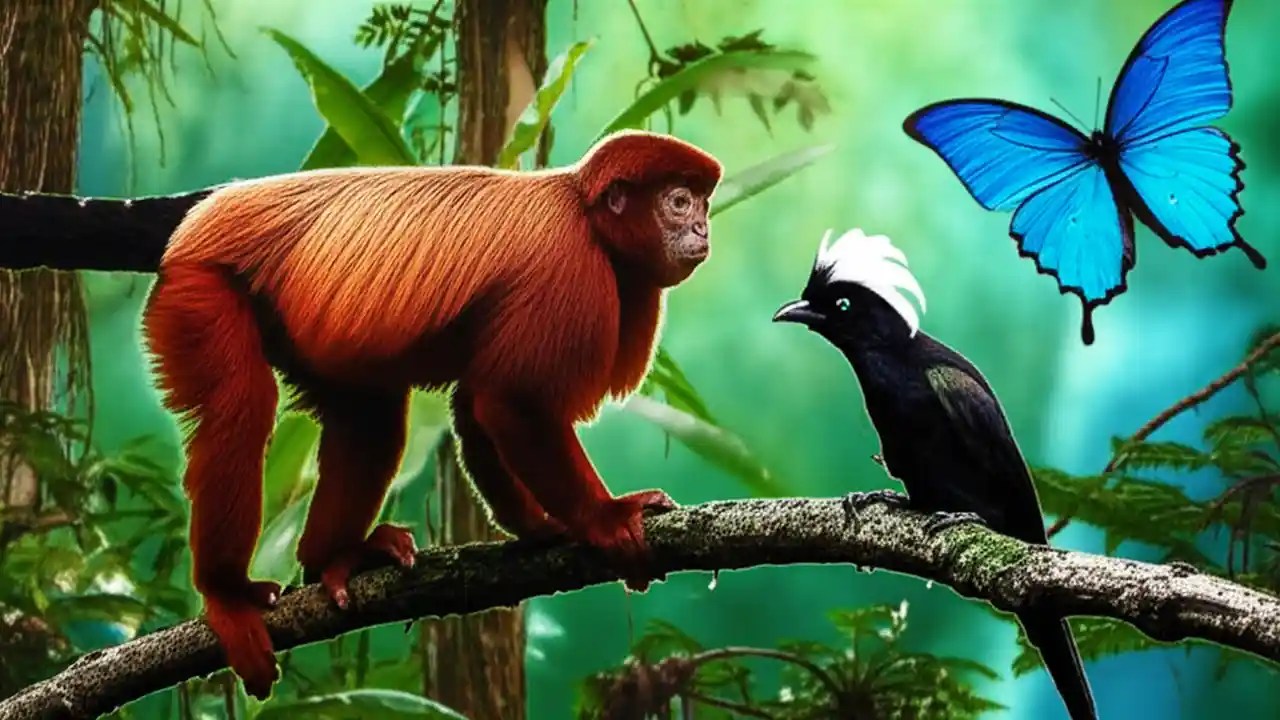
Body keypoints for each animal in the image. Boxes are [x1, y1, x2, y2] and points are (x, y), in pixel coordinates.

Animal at [0, 130, 723, 698]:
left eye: (703, 200)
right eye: (678, 200)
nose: (703, 227)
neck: (586, 211)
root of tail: (208, 208)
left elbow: (477, 405)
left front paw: (543, 529)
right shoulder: (570, 269)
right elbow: (511, 402)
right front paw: (602, 520)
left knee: (371, 419)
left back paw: (334, 557)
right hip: (200, 286)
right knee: (241, 409)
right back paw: (226, 593)